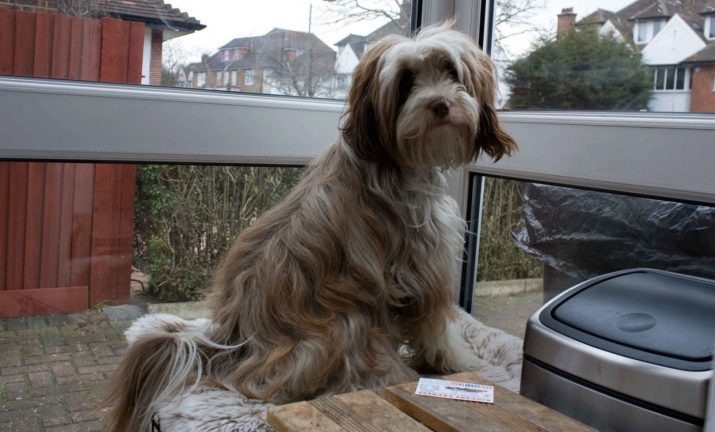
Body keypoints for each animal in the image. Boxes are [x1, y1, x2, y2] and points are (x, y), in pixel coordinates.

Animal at [103, 24, 516, 432]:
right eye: (406, 81)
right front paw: (462, 363)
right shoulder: (424, 268)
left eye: (451, 71)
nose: (441, 105)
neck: (391, 156)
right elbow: (439, 330)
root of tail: (230, 343)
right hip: (348, 323)